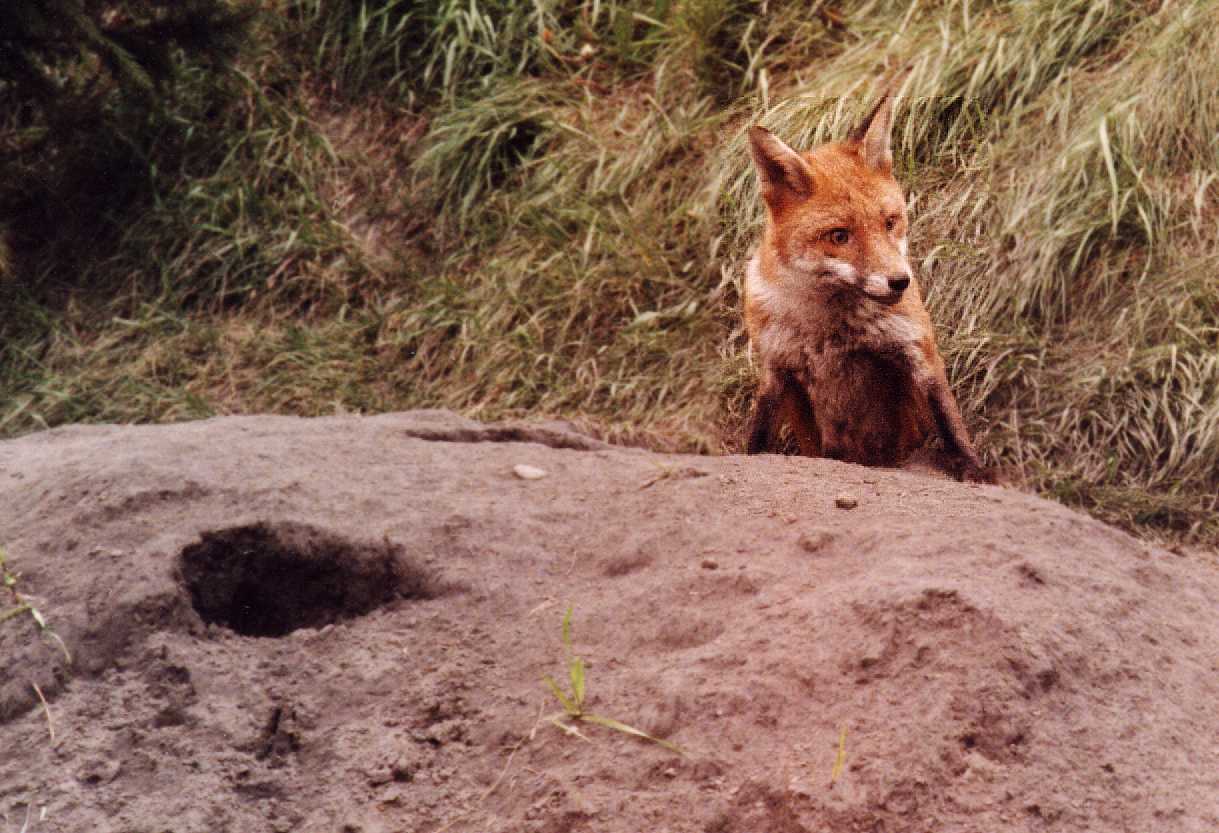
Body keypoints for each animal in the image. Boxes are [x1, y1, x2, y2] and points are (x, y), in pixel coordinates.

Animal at [742, 88, 991, 483]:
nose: (900, 282)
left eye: (890, 222)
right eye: (839, 236)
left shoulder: (917, 349)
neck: (829, 330)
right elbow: (757, 435)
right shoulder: (775, 366)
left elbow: (949, 422)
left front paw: (973, 468)